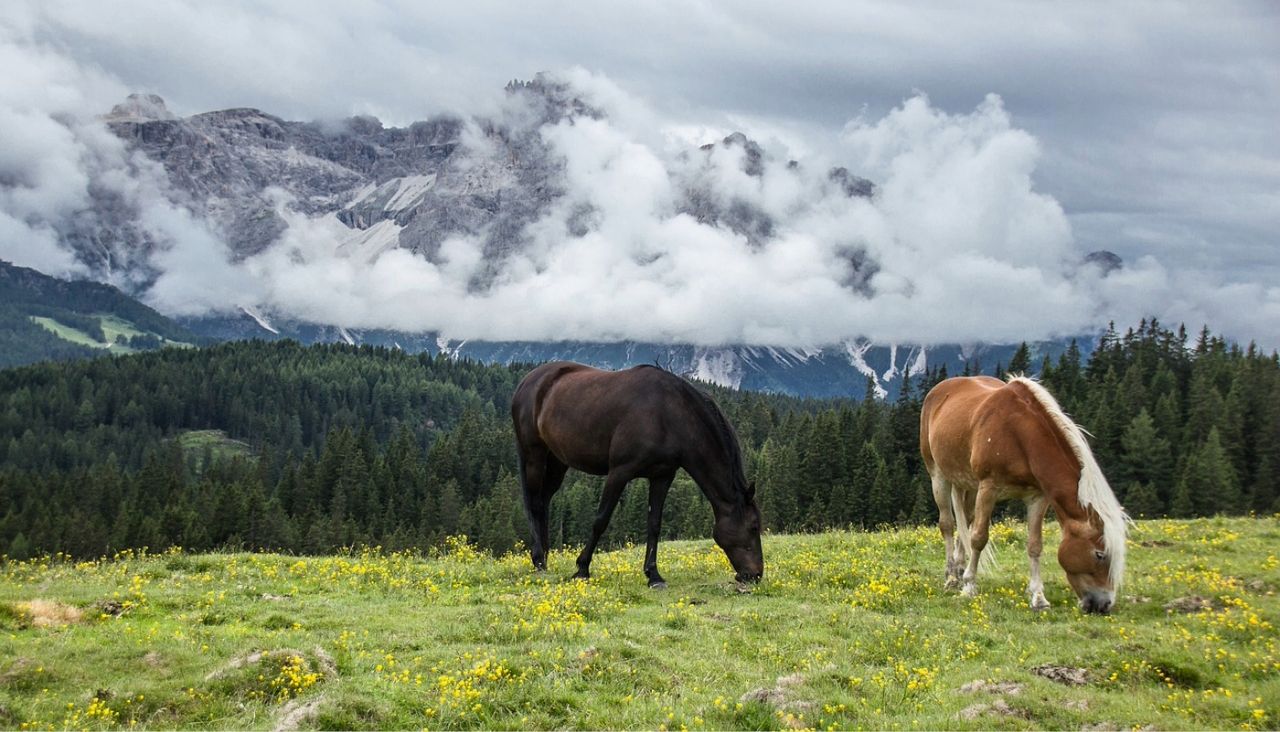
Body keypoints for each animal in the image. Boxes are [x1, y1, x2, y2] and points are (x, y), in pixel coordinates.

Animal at [511, 361, 763, 587]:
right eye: (753, 527)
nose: (755, 575)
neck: (668, 415)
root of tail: (527, 381)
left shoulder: (662, 477)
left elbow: (654, 525)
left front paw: (654, 575)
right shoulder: (619, 472)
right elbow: (600, 520)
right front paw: (582, 568)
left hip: (557, 461)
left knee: (544, 502)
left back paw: (545, 558)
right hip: (534, 454)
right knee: (535, 504)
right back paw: (539, 560)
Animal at [919, 375, 1129, 614]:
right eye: (1099, 554)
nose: (1103, 605)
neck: (1019, 435)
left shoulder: (1037, 497)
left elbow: (1034, 545)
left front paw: (1038, 597)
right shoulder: (988, 488)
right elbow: (979, 538)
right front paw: (969, 586)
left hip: (968, 484)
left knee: (966, 520)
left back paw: (959, 568)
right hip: (938, 474)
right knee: (947, 524)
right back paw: (952, 578)